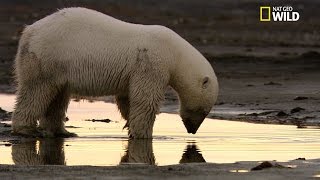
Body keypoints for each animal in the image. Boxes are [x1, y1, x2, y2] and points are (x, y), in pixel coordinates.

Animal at [11, 7, 219, 139]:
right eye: (203, 110)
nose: (192, 130)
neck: (175, 53)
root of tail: (29, 32)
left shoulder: (135, 69)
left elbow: (127, 98)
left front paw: (130, 125)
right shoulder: (151, 63)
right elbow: (145, 100)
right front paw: (144, 134)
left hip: (58, 67)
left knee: (58, 96)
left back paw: (63, 131)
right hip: (47, 56)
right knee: (36, 91)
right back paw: (26, 129)